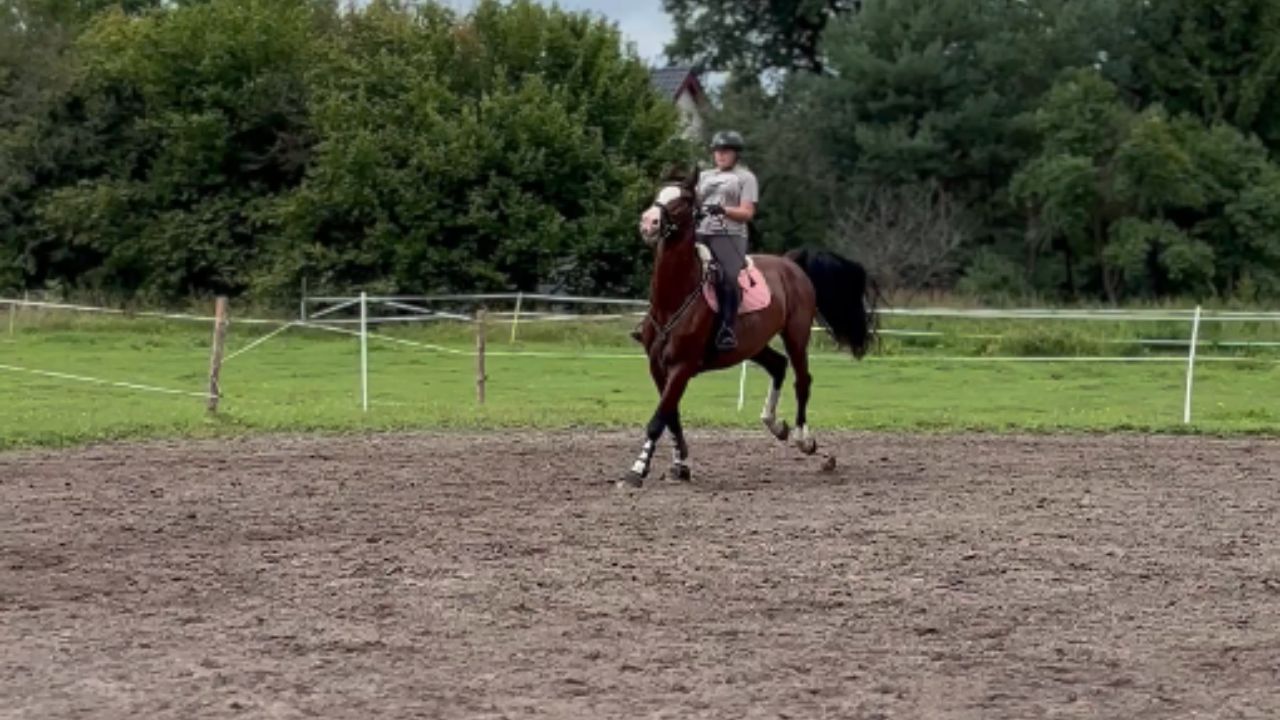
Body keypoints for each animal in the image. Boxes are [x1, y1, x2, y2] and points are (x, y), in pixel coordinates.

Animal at [620, 164, 880, 488]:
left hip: (796, 335)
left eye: (683, 200)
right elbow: (671, 416)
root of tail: (789, 263)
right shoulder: (658, 367)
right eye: (659, 194)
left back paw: (804, 440)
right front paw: (681, 465)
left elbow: (658, 420)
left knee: (802, 380)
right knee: (778, 366)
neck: (673, 299)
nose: (649, 222)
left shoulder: (682, 366)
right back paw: (776, 426)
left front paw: (636, 470)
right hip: (753, 344)